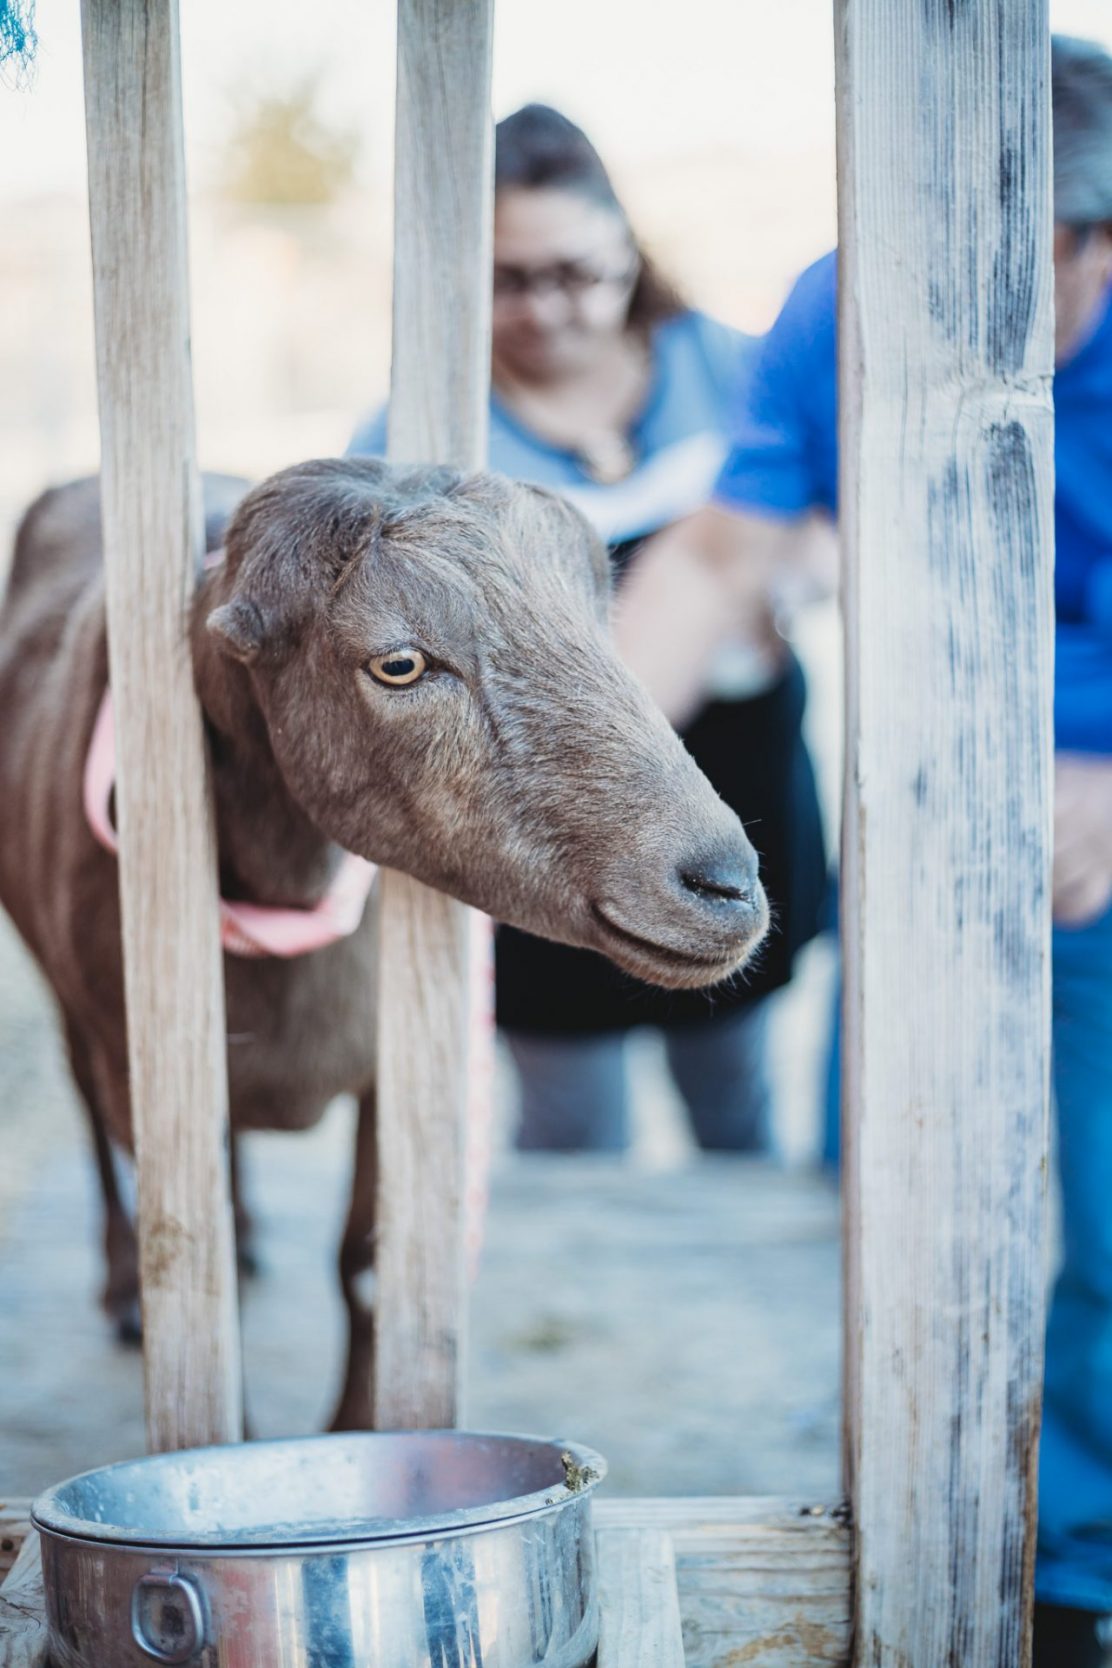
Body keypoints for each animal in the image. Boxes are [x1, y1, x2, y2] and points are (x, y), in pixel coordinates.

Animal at [0, 458, 767, 1429]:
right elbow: (198, 1283)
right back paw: (122, 1289)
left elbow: (366, 1266)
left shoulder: (380, 1064)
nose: (722, 883)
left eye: (600, 614)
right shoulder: (141, 1066)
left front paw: (358, 1432)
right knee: (91, 1124)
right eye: (399, 663)